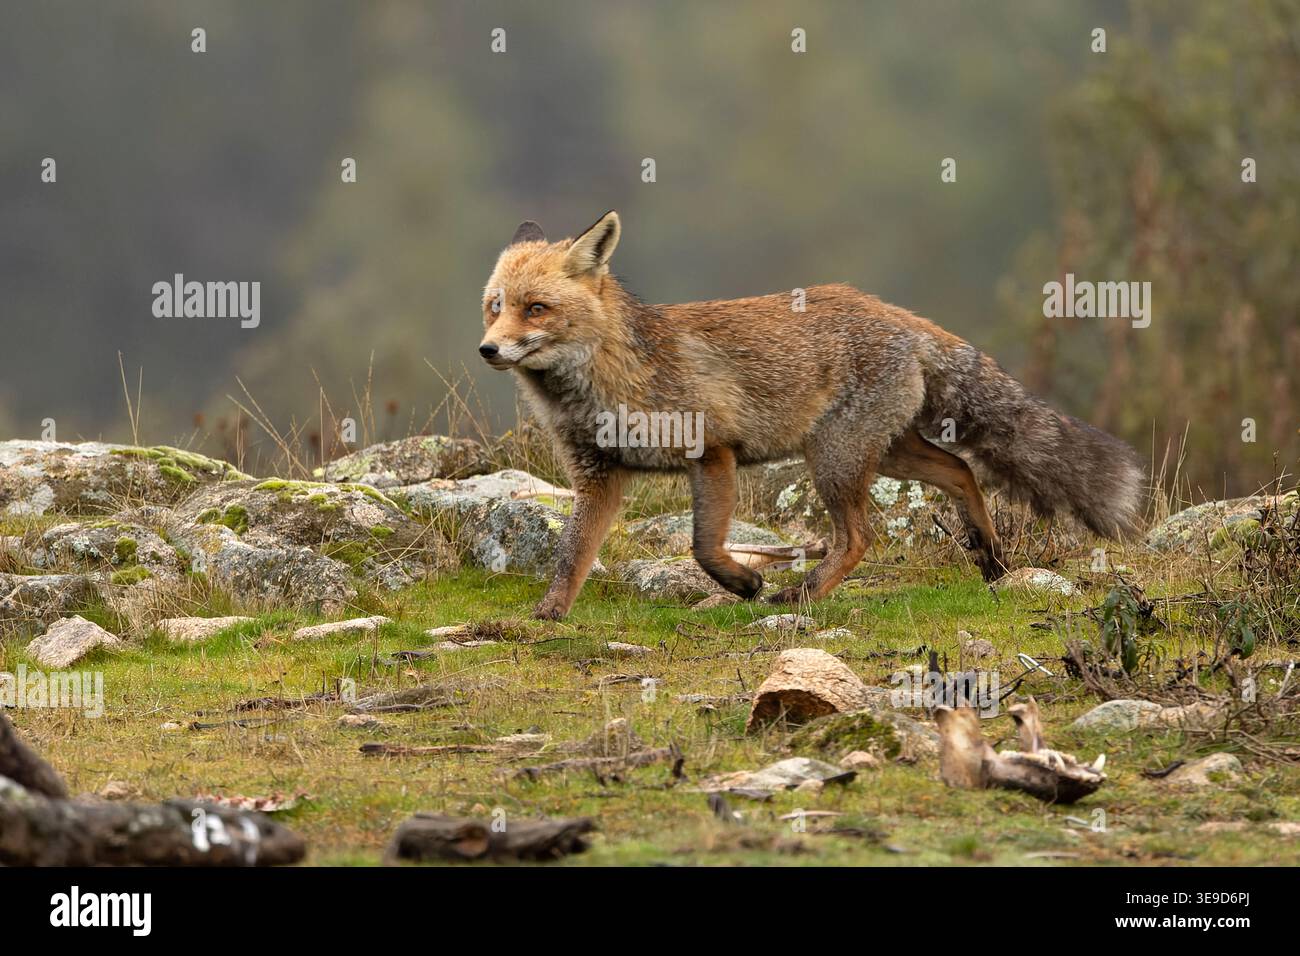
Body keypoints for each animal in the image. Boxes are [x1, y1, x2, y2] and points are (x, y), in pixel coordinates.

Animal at [479, 211, 1144, 621]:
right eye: (494, 307)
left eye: (535, 309)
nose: (487, 349)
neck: (605, 382)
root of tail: (899, 313)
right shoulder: (599, 475)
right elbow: (572, 554)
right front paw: (548, 615)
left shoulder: (712, 451)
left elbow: (703, 546)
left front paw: (744, 584)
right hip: (885, 452)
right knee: (960, 470)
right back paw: (988, 553)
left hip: (835, 460)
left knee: (860, 538)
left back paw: (802, 594)